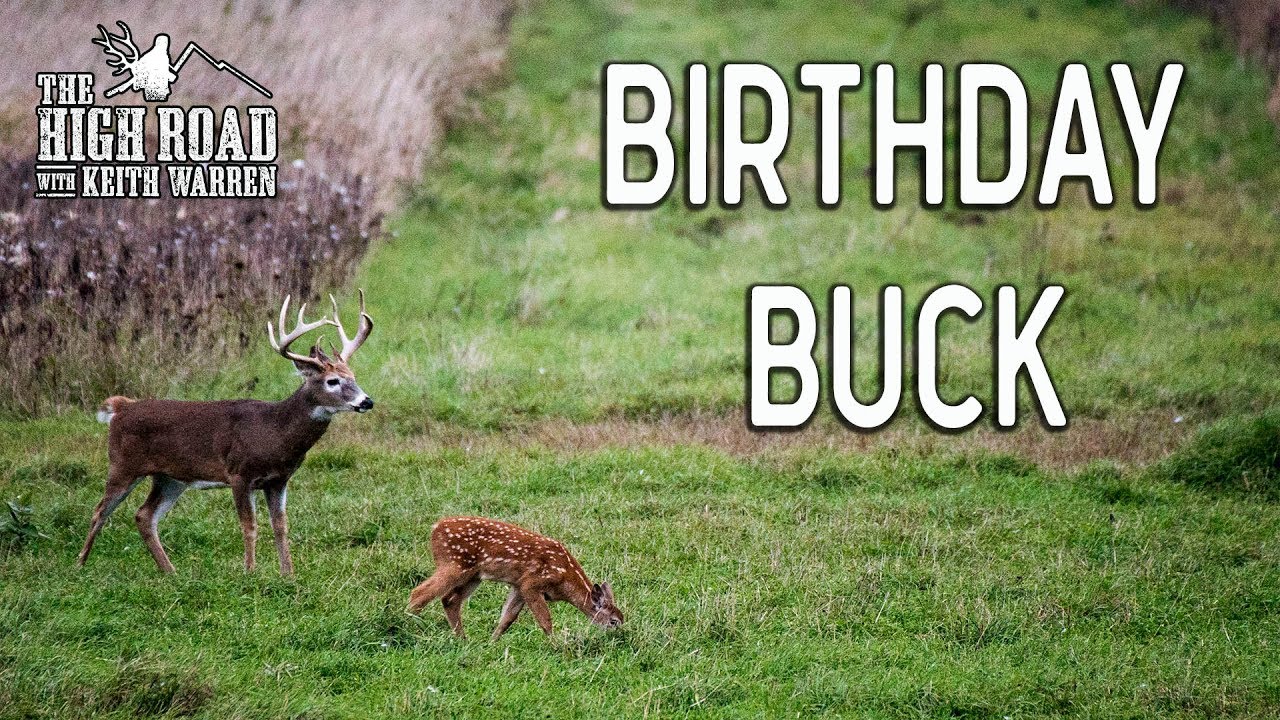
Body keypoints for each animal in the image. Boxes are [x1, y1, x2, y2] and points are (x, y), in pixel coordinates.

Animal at [76, 291, 375, 576]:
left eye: (354, 376)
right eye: (332, 381)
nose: (366, 401)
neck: (275, 431)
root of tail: (120, 408)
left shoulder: (279, 480)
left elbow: (280, 526)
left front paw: (288, 575)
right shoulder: (239, 473)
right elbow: (250, 526)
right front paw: (250, 572)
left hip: (170, 477)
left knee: (144, 516)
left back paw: (171, 573)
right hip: (122, 464)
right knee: (100, 511)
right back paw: (80, 566)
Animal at [407, 517, 624, 640]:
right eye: (614, 621)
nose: (621, 638)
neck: (565, 579)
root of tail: (434, 528)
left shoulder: (518, 585)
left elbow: (507, 618)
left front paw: (492, 642)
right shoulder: (532, 583)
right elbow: (545, 620)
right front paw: (558, 647)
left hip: (473, 575)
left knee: (449, 599)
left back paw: (462, 639)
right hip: (453, 564)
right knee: (419, 592)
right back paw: (411, 624)